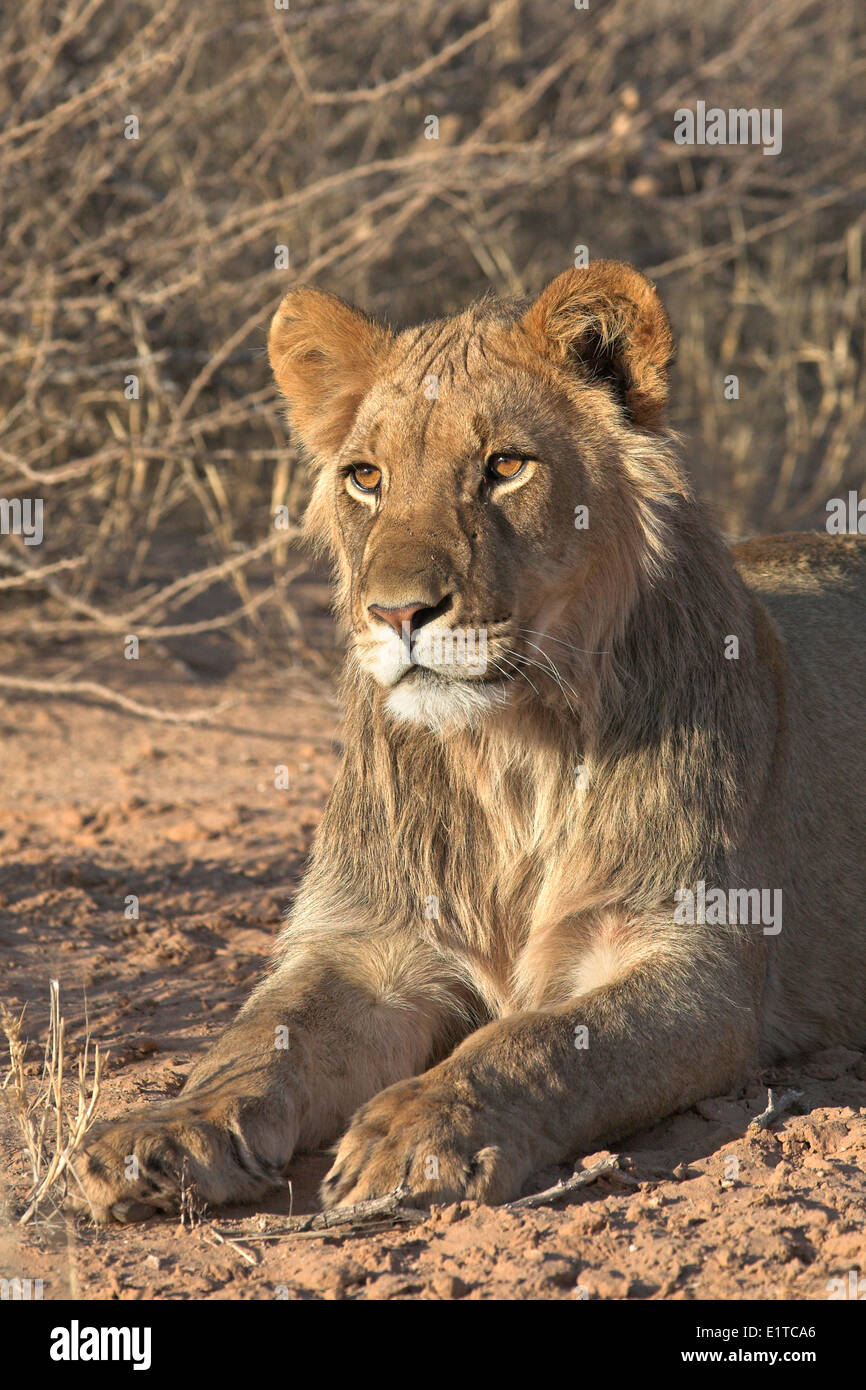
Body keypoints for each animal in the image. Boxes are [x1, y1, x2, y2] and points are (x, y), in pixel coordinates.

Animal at [72, 260, 866, 1223]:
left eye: (506, 467)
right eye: (365, 477)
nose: (397, 613)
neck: (512, 752)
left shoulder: (688, 959)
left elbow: (539, 1039)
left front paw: (422, 1129)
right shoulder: (367, 942)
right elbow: (261, 1036)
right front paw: (166, 1130)